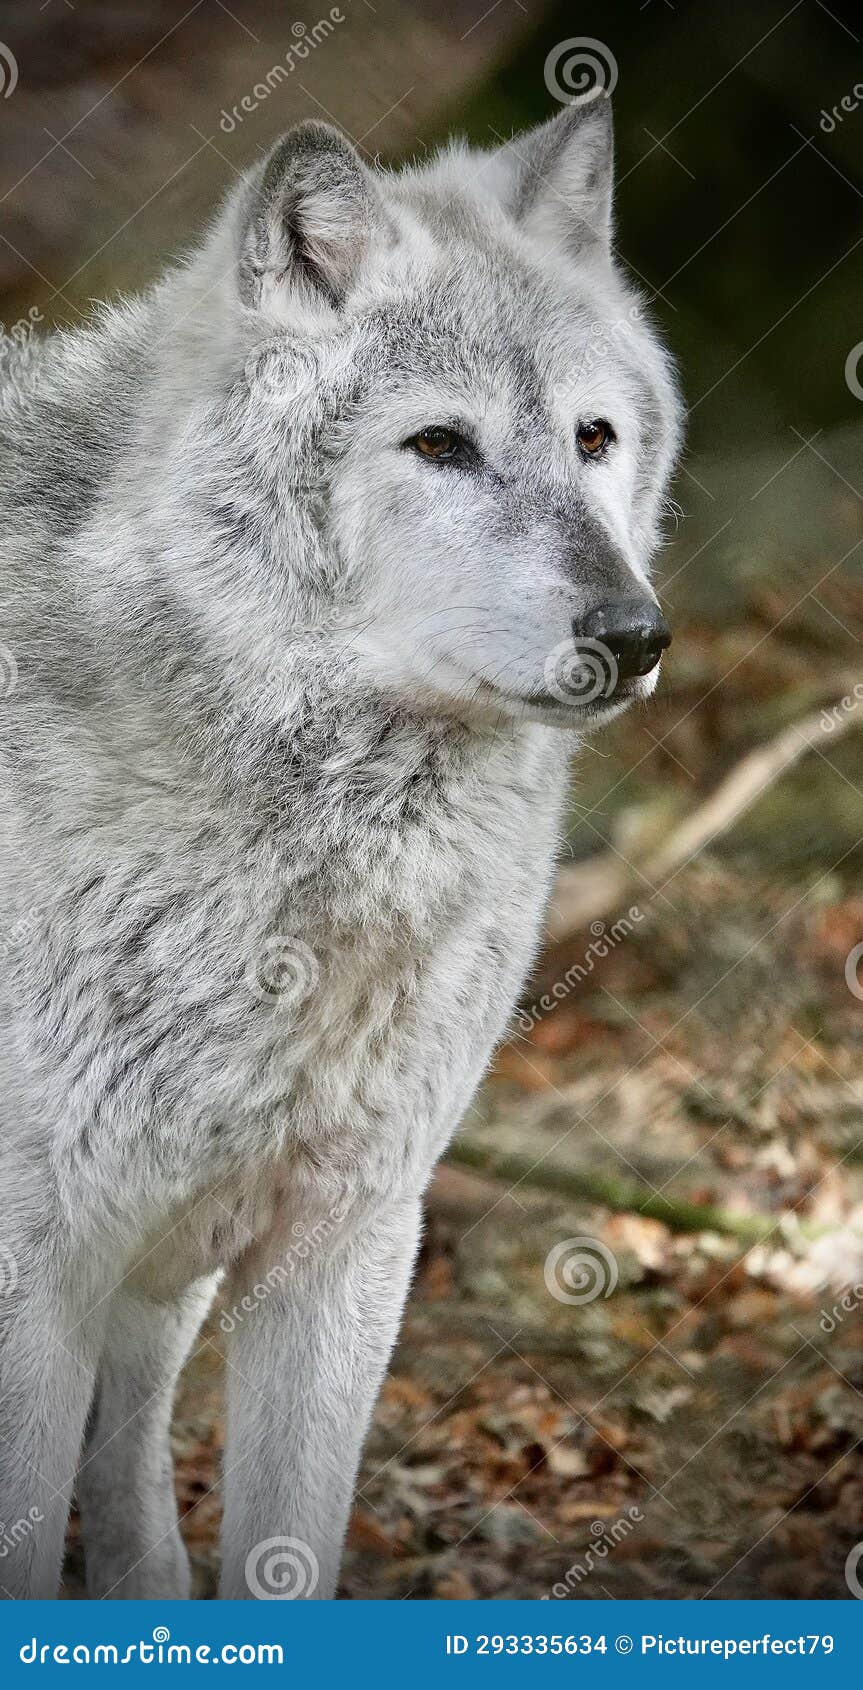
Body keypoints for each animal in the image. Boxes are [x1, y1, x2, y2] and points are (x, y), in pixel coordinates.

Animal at [0, 98, 680, 1600]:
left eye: (591, 436)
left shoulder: (346, 1243)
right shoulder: (31, 1267)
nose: (632, 632)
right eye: (438, 446)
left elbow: (286, 1553)